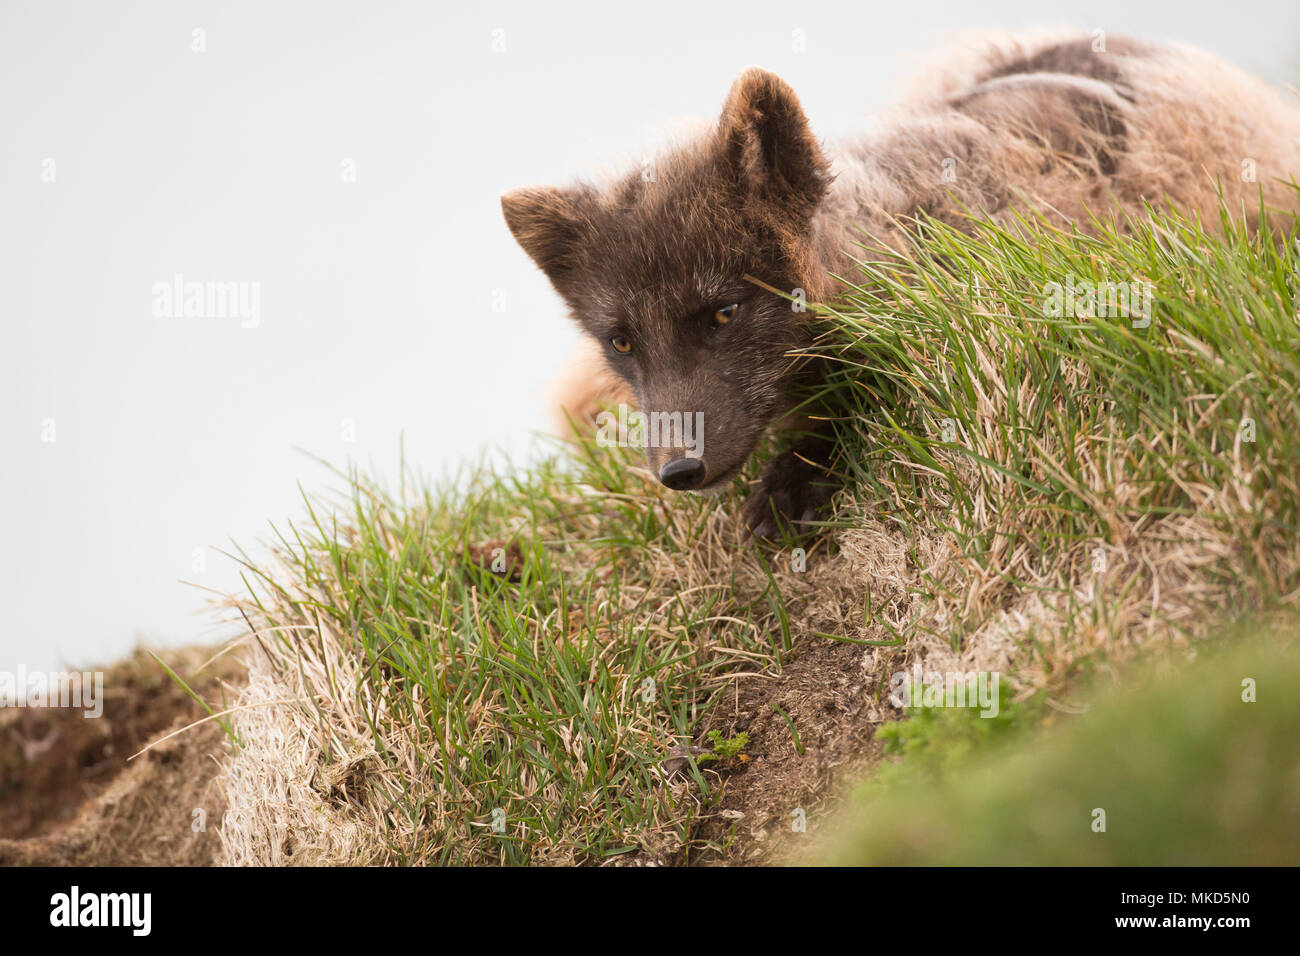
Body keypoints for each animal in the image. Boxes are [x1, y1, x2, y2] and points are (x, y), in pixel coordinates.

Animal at [503, 31, 1300, 537]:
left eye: (725, 311)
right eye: (622, 341)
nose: (678, 469)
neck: (915, 218)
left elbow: (872, 396)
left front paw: (793, 481)